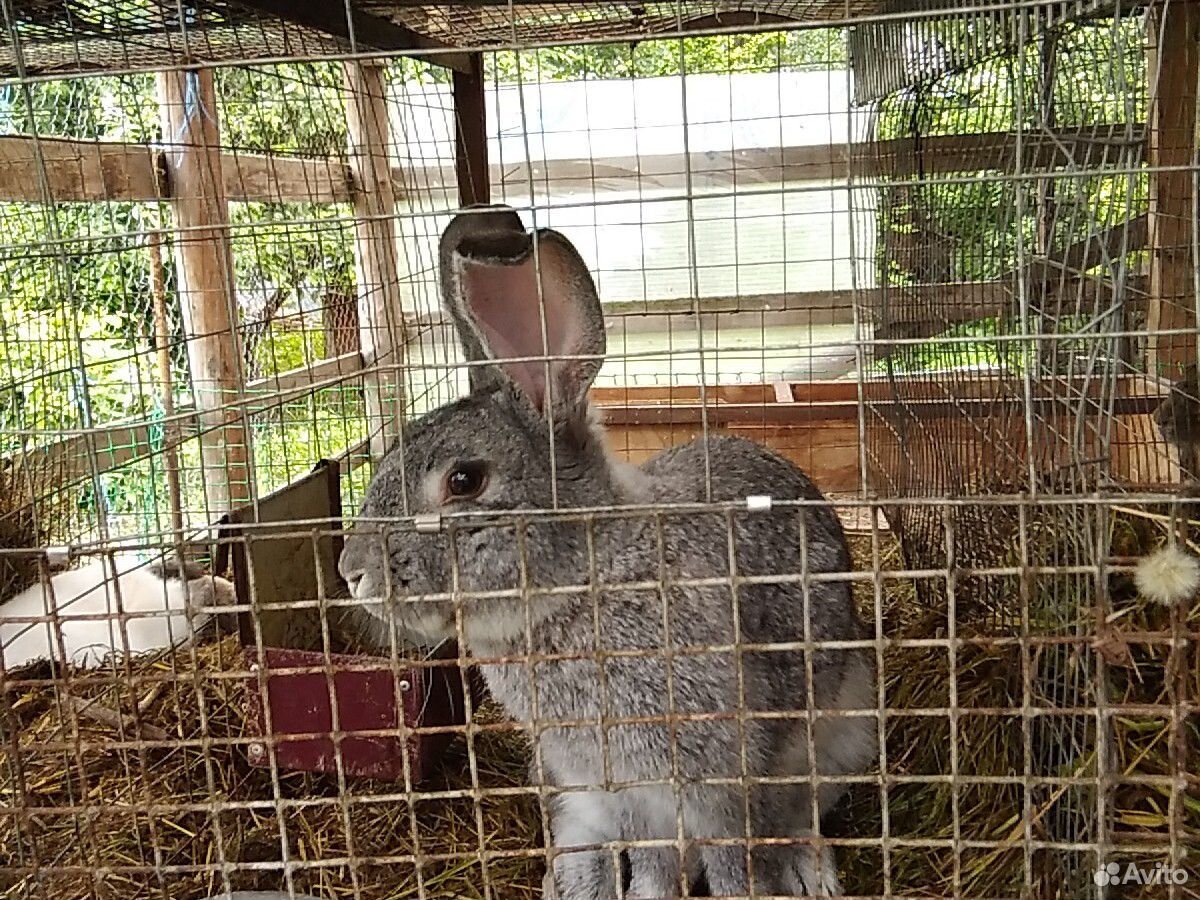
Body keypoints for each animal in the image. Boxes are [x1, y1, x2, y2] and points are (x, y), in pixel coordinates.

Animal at [338, 205, 877, 898]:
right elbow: (653, 868)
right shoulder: (626, 795)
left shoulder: (716, 783)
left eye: (464, 480)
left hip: (844, 733)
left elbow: (734, 865)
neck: (582, 579)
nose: (351, 572)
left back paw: (809, 869)